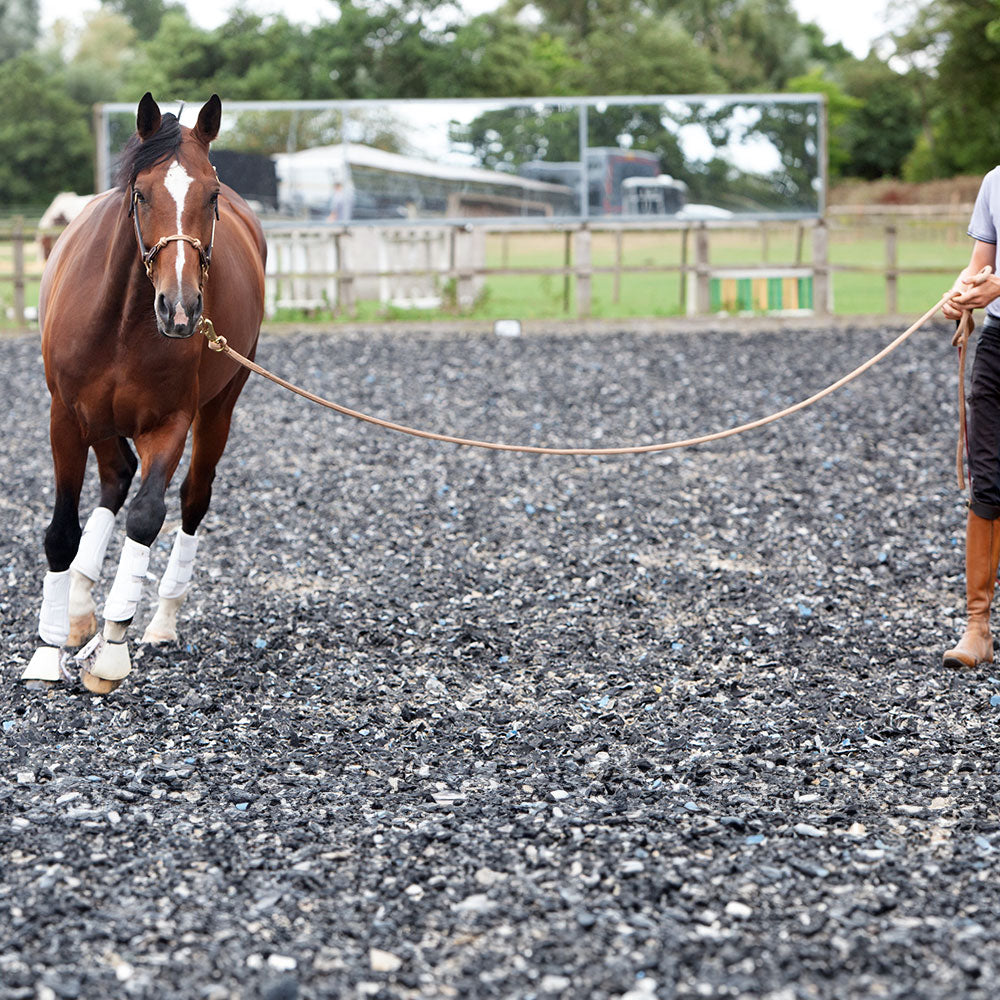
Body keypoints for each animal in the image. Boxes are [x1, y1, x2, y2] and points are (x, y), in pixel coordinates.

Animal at [22, 92, 266, 693]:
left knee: (192, 498)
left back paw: (160, 619)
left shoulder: (170, 422)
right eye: (141, 193)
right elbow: (61, 531)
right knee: (115, 475)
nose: (180, 310)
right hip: (98, 419)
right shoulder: (66, 417)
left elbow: (147, 516)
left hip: (219, 408)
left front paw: (112, 647)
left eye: (211, 195)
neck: (123, 319)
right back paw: (78, 602)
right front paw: (47, 651)